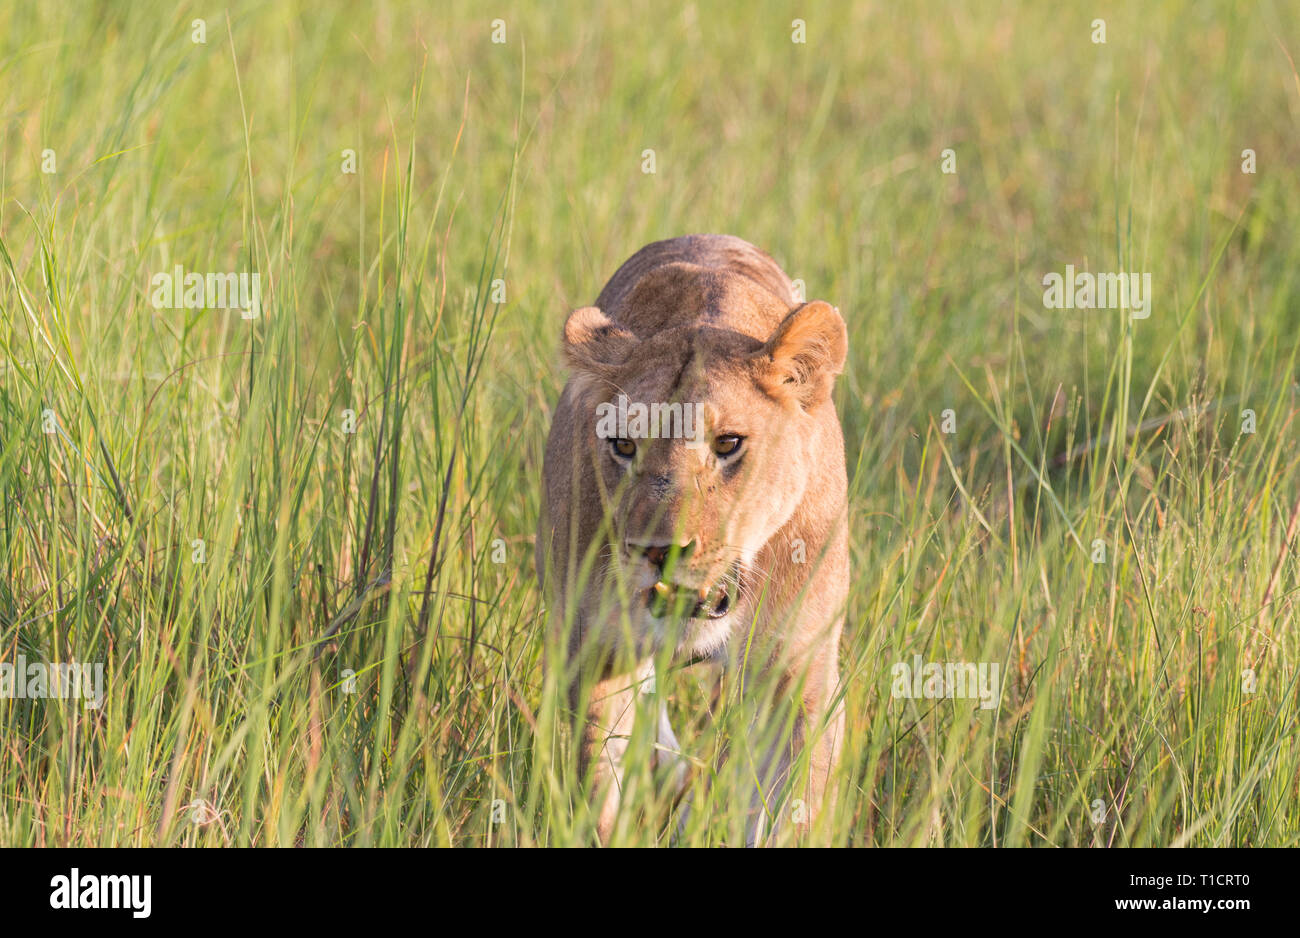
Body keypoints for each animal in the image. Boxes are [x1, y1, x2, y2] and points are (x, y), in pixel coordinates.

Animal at [537, 234, 849, 845]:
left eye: (727, 443)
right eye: (623, 445)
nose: (657, 552)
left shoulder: (803, 671)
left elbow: (796, 806)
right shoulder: (595, 649)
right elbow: (600, 786)